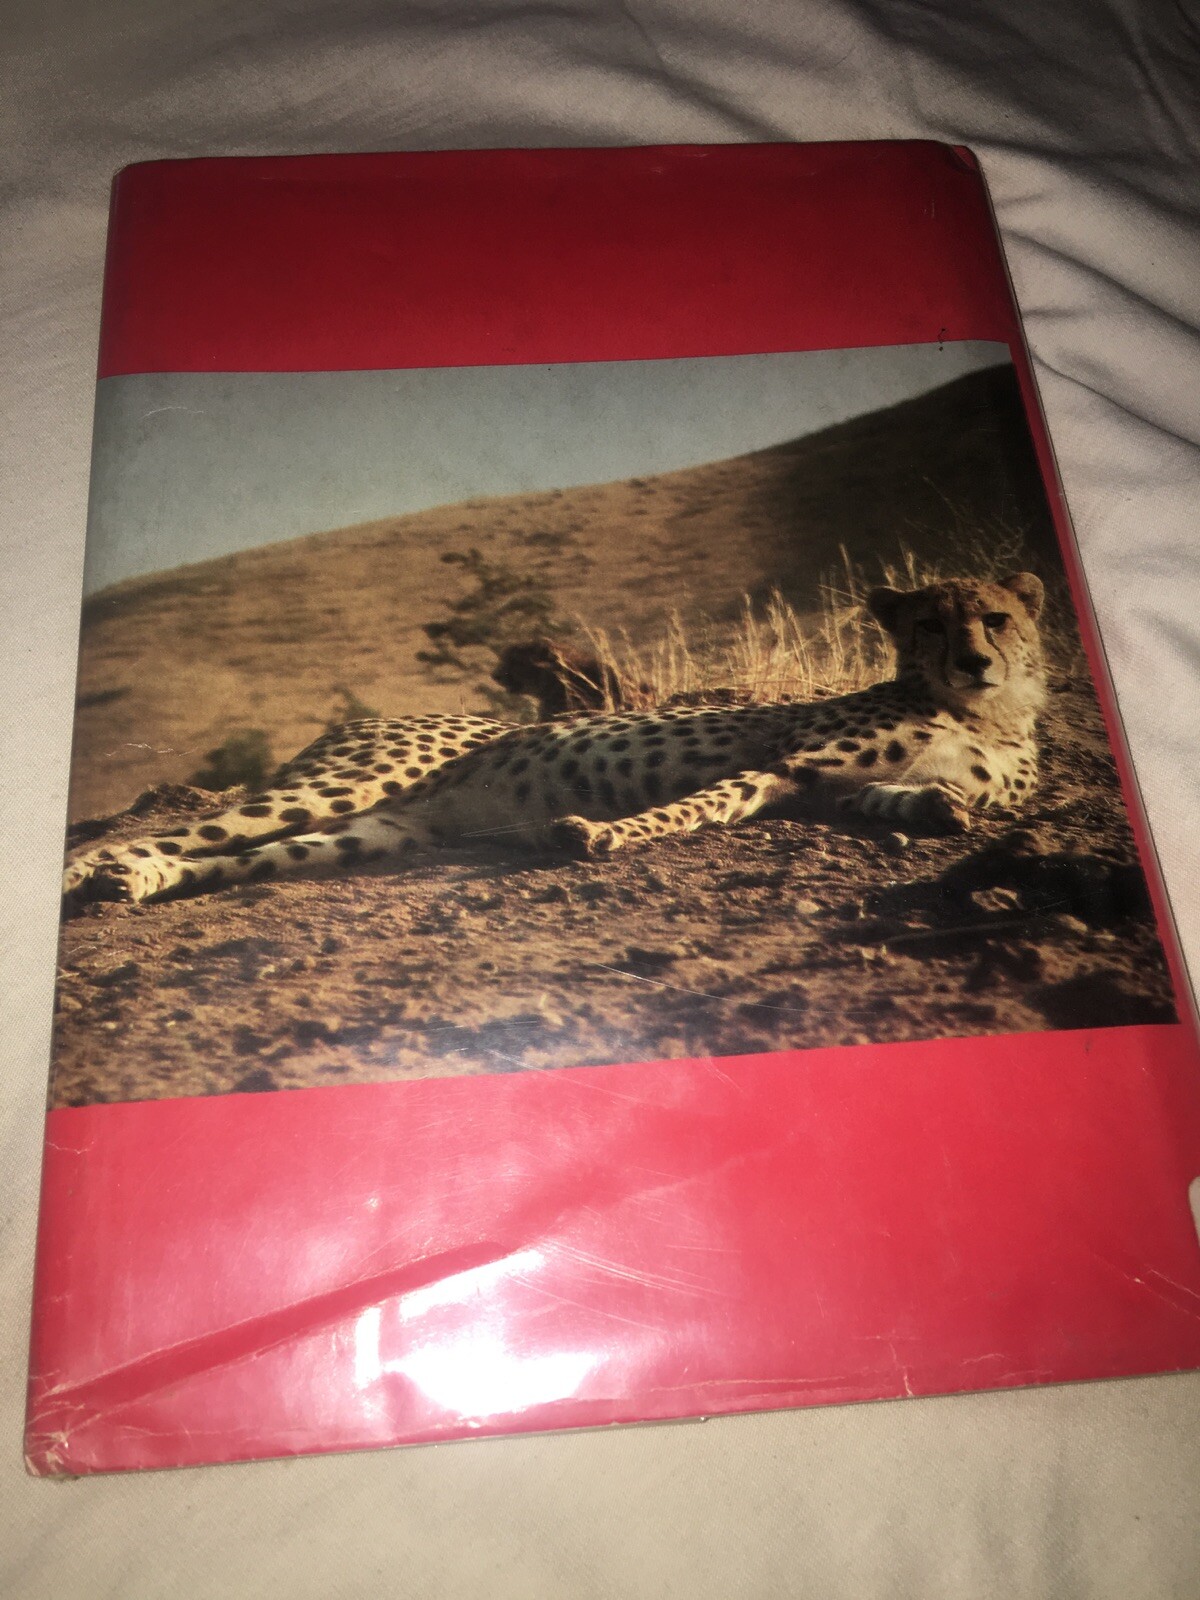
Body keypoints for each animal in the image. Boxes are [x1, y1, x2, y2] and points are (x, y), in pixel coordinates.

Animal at [62, 572, 1047, 908]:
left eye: (995, 618)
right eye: (930, 624)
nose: (973, 660)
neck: (982, 714)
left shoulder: (844, 786)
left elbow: (925, 799)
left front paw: (940, 813)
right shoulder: (783, 766)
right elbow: (695, 807)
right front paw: (598, 834)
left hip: (375, 833)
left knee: (219, 859)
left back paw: (137, 886)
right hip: (344, 785)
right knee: (160, 834)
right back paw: (89, 875)